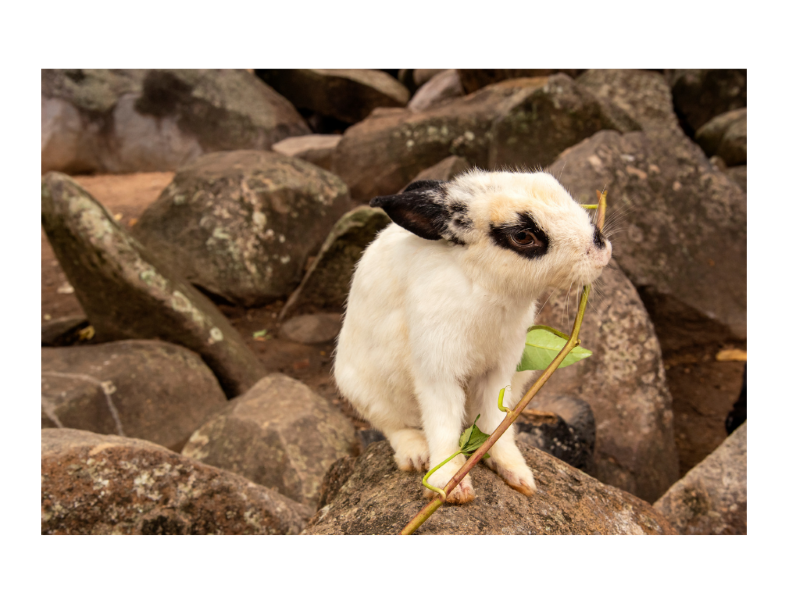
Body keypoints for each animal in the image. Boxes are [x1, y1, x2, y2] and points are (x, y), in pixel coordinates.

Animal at [333, 169, 612, 503]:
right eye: (523, 236)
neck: (484, 283)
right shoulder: (438, 370)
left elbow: (495, 423)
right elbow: (443, 423)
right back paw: (415, 455)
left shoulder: (500, 372)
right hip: (367, 393)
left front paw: (517, 474)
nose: (601, 248)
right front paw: (449, 484)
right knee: (395, 427)